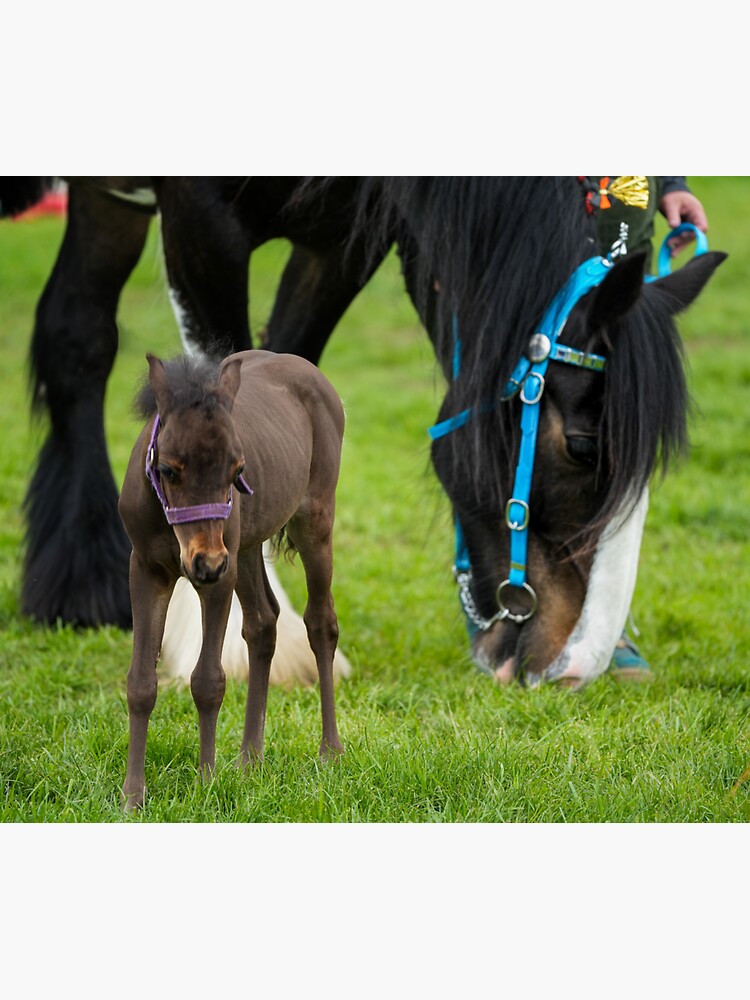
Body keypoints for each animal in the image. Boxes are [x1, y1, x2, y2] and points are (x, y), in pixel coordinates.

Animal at [4, 177, 727, 688]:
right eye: (581, 448)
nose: (577, 667)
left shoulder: (341, 244)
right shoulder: (201, 221)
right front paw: (253, 644)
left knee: (76, 334)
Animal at [118, 350, 345, 809]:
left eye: (237, 469)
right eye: (169, 470)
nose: (205, 562)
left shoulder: (219, 579)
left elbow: (208, 680)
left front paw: (206, 785)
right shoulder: (146, 569)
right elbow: (141, 683)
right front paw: (133, 797)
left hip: (308, 523)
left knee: (321, 623)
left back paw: (329, 751)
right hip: (244, 549)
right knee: (262, 623)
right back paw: (250, 759)